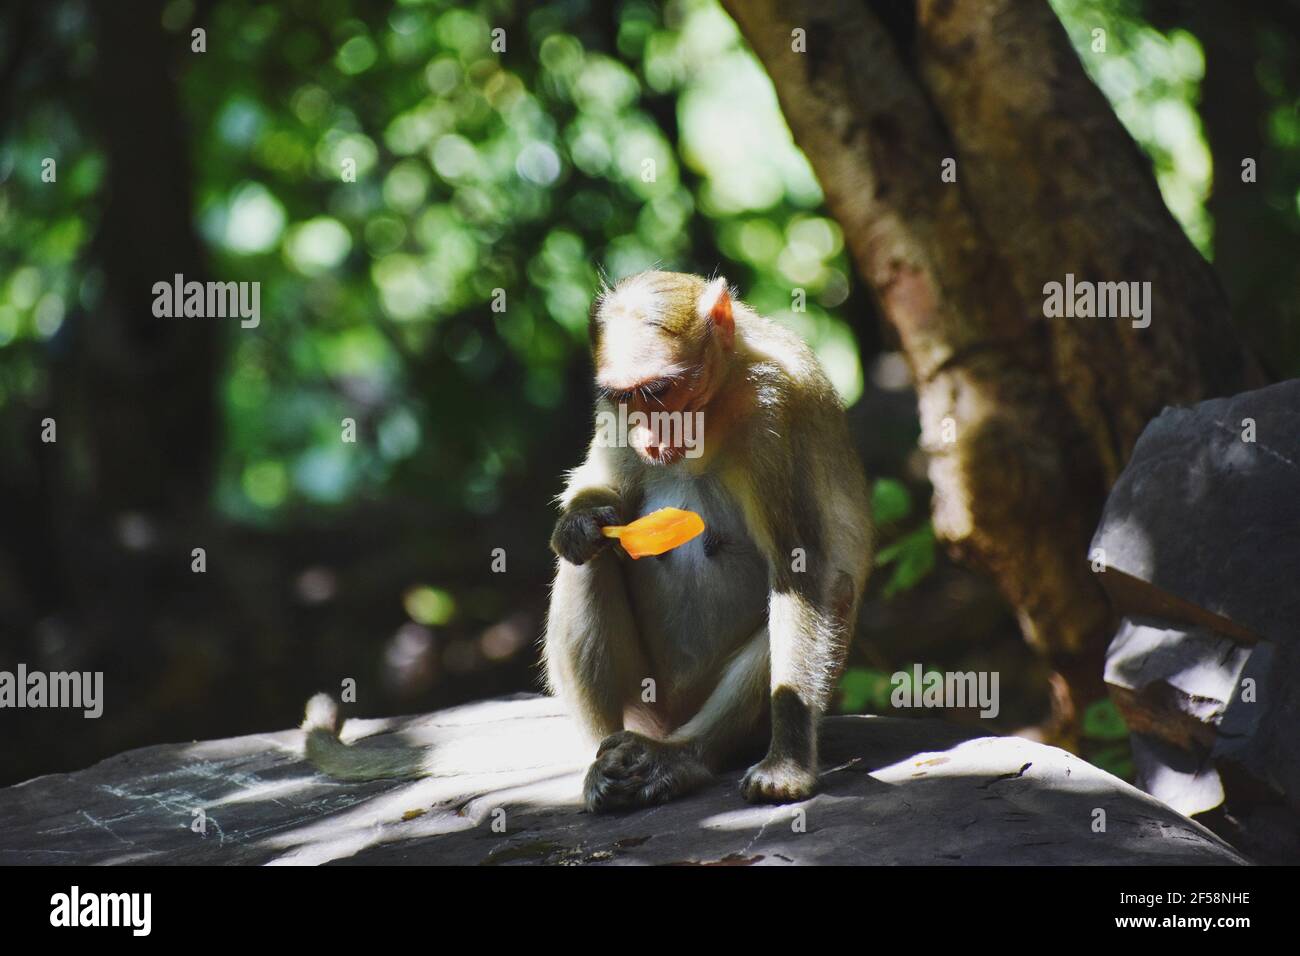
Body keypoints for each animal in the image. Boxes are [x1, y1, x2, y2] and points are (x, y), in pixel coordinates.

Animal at [299, 271, 872, 814]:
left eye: (660, 392)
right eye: (626, 398)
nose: (650, 437)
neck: (717, 402)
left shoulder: (776, 411)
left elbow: (801, 575)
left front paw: (787, 766)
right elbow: (600, 490)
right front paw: (578, 523)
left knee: (825, 598)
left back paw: (681, 758)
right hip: (643, 702)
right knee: (590, 564)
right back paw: (604, 759)